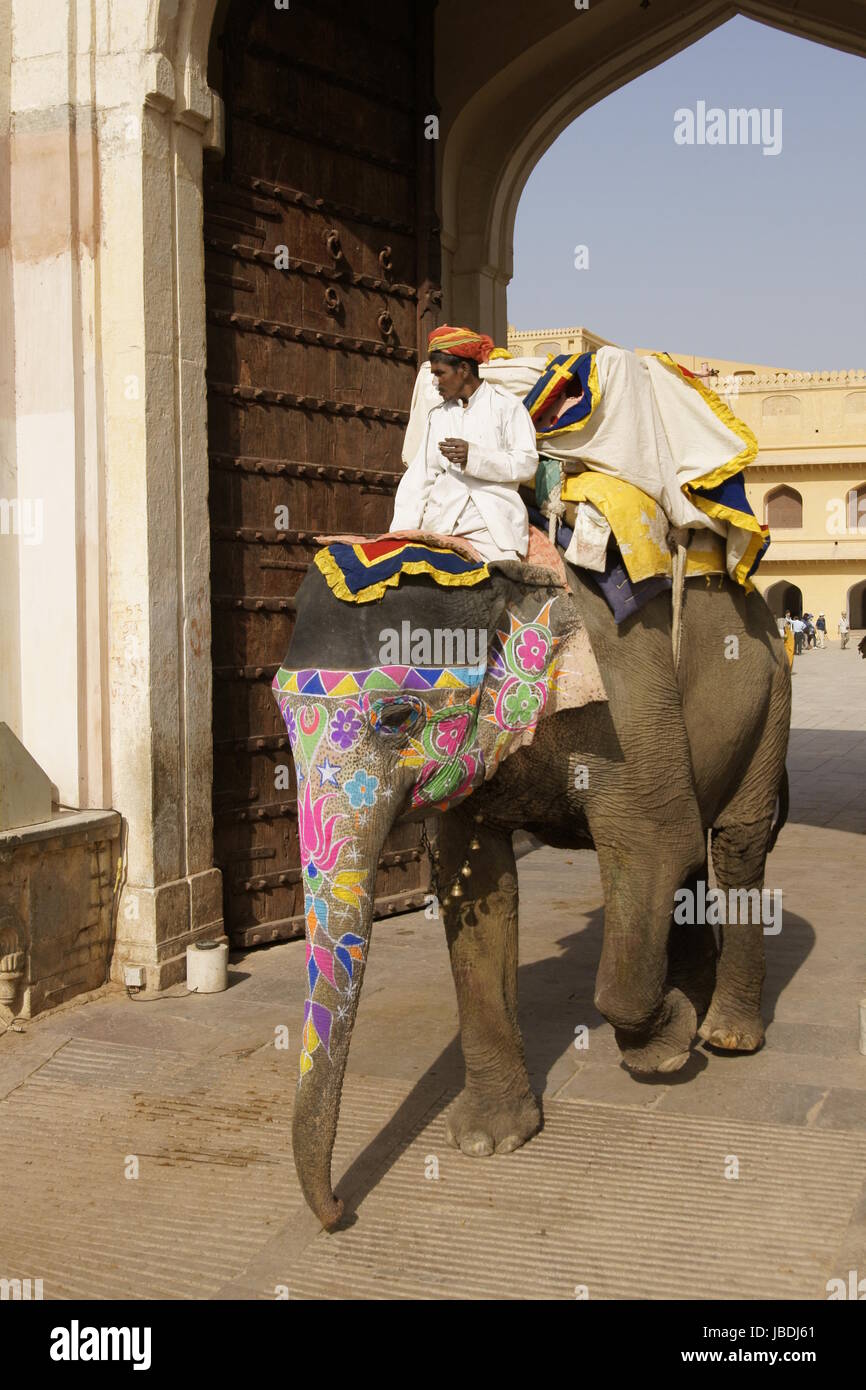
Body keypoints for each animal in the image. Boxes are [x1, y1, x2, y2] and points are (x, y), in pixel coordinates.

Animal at [273, 546, 791, 1230]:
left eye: (397, 717)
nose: (337, 1211)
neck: (503, 579)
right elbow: (475, 888)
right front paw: (488, 1140)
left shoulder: (623, 712)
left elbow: (655, 846)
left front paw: (664, 1047)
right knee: (696, 856)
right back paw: (695, 995)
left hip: (770, 699)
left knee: (734, 843)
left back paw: (727, 1034)